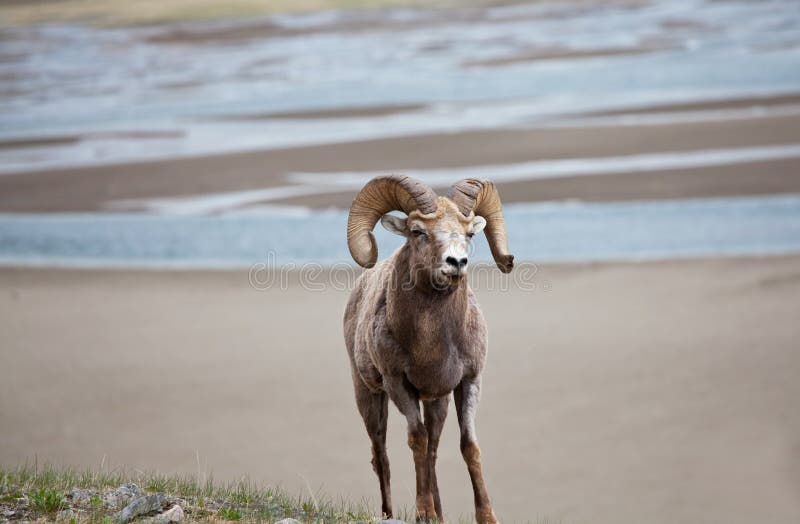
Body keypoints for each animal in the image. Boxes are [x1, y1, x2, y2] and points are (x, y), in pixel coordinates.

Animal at [343, 175, 514, 524]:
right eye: (417, 231)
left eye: (469, 233)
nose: (456, 262)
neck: (431, 346)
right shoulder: (399, 385)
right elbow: (416, 440)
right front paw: (423, 512)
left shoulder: (468, 382)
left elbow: (468, 446)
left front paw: (486, 516)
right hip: (369, 397)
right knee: (382, 457)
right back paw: (392, 514)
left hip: (437, 403)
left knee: (433, 451)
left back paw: (440, 514)